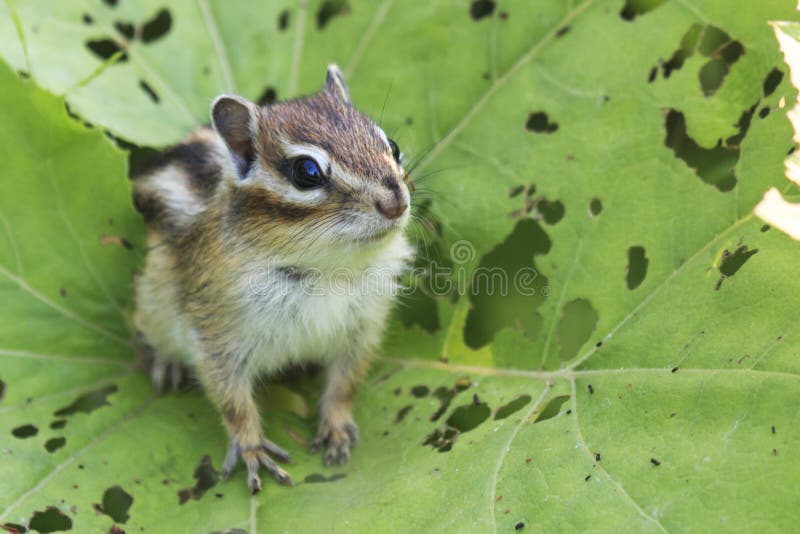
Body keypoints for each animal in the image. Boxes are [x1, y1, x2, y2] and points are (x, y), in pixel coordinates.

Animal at [131, 65, 413, 492]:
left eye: (393, 146)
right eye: (306, 172)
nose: (396, 202)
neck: (326, 270)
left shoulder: (363, 326)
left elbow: (347, 381)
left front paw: (336, 426)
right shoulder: (216, 334)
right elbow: (231, 399)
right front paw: (251, 448)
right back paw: (166, 364)